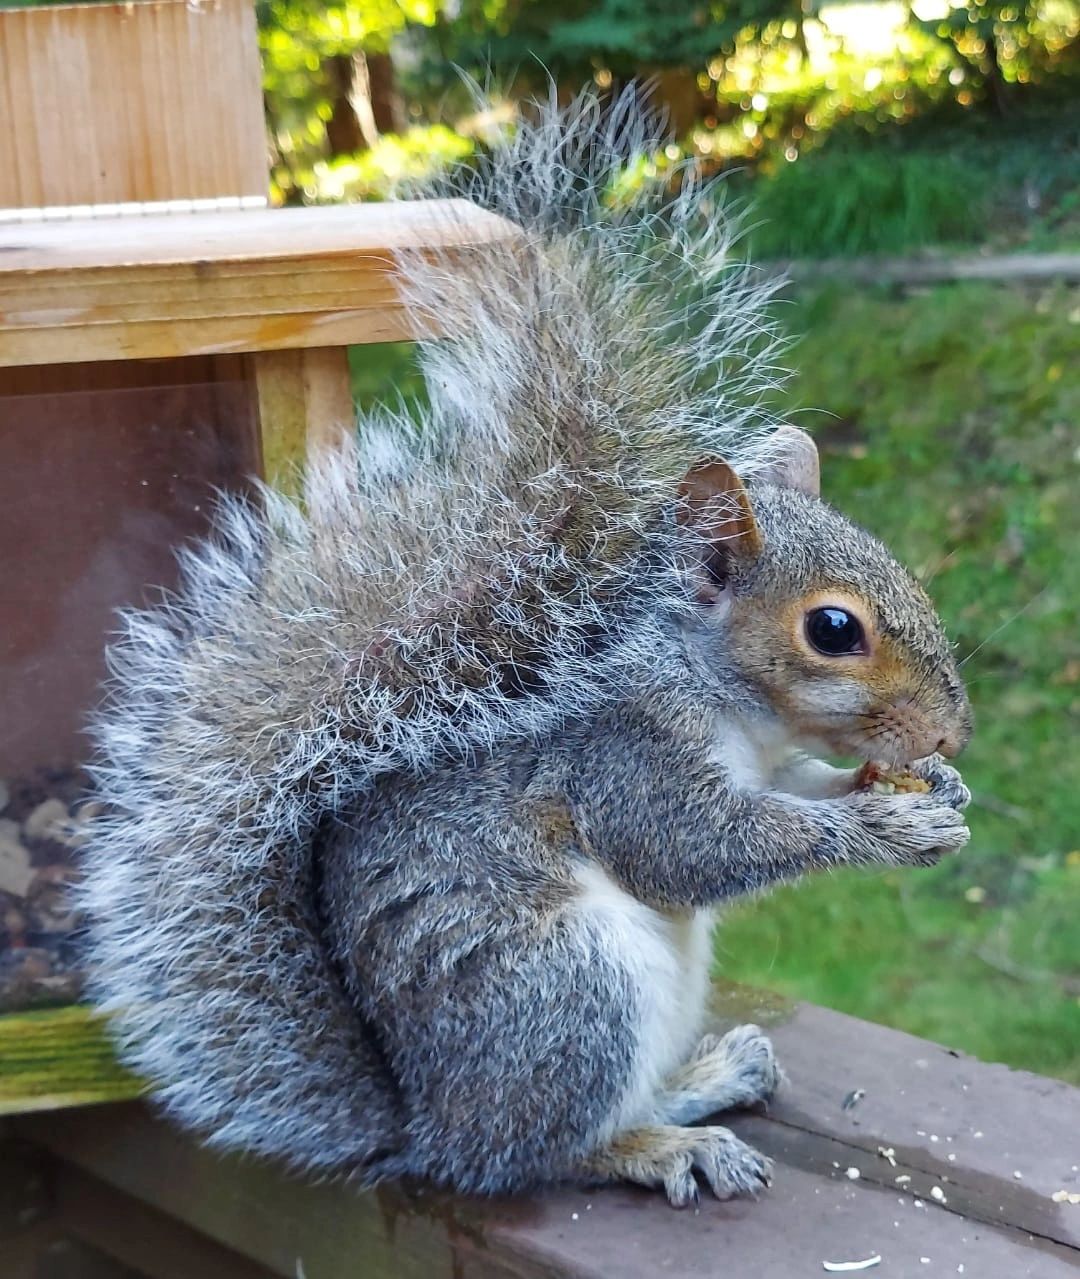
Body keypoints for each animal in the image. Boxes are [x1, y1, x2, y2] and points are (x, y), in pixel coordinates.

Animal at [80, 86, 973, 1208]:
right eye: (834, 628)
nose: (954, 733)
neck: (711, 688)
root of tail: (423, 1126)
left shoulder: (760, 756)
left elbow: (792, 790)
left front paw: (929, 796)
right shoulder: (620, 752)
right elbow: (697, 843)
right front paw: (878, 826)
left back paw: (708, 1078)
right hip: (567, 992)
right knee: (542, 1154)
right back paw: (659, 1145)